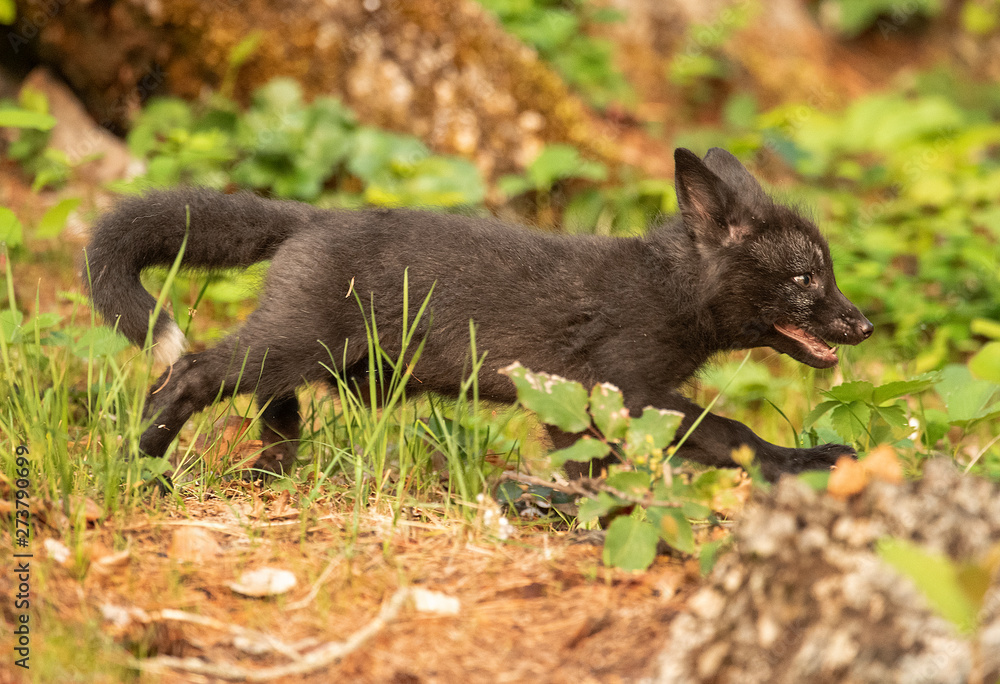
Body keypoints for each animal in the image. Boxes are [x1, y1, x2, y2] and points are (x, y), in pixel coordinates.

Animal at [83, 147, 872, 482]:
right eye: (806, 278)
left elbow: (591, 467)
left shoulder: (576, 406)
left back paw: (272, 471)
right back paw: (139, 463)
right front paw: (800, 463)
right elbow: (729, 431)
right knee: (187, 372)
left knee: (269, 404)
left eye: (829, 274)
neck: (669, 291)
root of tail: (314, 216)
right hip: (292, 344)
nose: (862, 325)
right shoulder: (618, 385)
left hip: (305, 352)